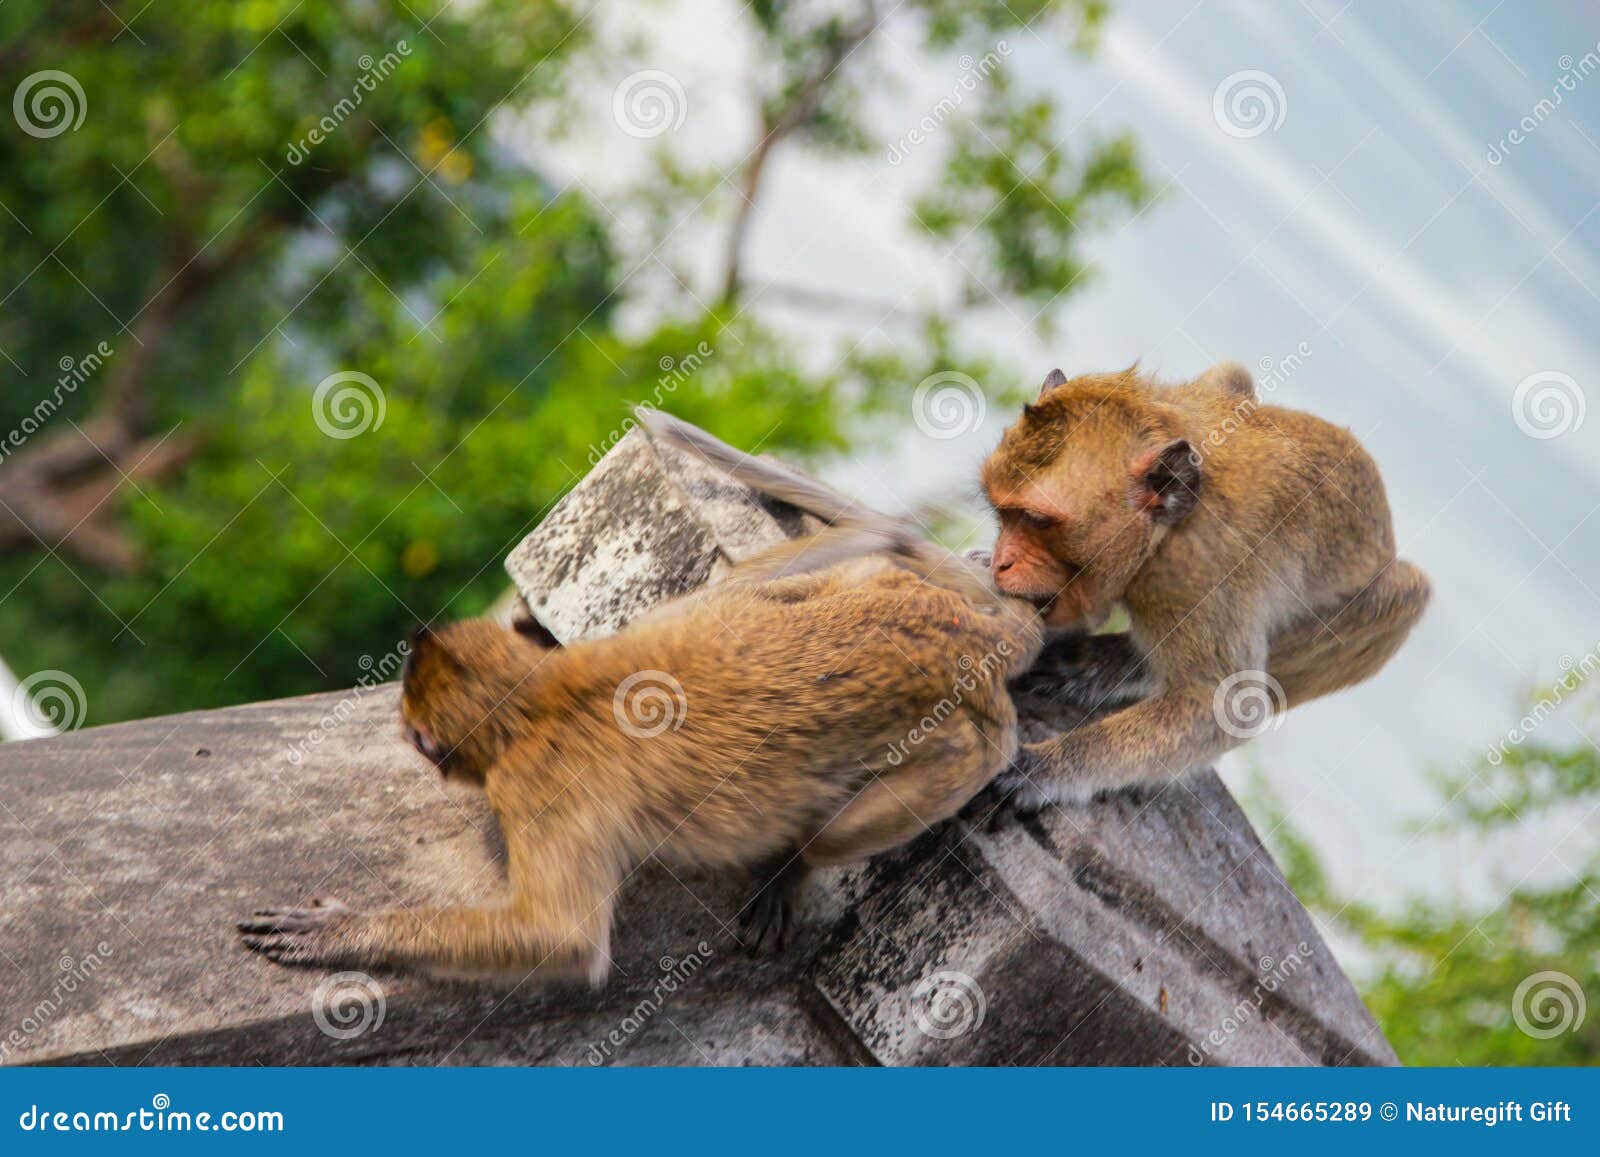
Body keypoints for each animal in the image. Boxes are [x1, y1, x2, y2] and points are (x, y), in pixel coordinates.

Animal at [238, 426, 1044, 979]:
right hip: (872, 589)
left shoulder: (533, 784)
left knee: (835, 831)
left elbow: (558, 939)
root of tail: (969, 632)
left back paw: (791, 863)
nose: (424, 758)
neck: (537, 697)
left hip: (966, 749)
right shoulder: (645, 629)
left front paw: (347, 931)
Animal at [974, 362, 1431, 815]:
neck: (1163, 536)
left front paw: (1050, 766)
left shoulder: (1199, 577)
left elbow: (1229, 707)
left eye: (1036, 520)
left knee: (1406, 599)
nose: (1002, 561)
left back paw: (1114, 665)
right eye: (1003, 513)